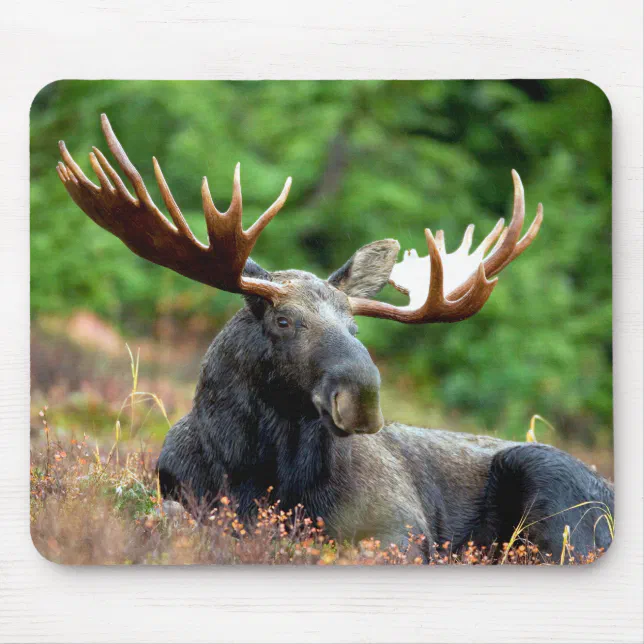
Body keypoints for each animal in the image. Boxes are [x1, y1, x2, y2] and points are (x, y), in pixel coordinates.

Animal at [56, 114, 614, 559]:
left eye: (355, 326)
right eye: (283, 321)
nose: (362, 397)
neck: (257, 472)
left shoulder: (400, 527)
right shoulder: (179, 496)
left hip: (558, 496)